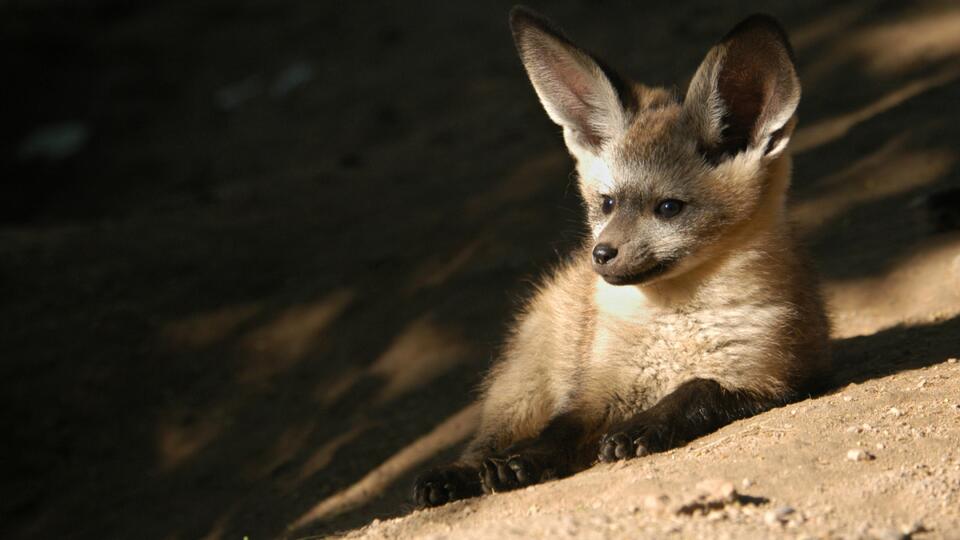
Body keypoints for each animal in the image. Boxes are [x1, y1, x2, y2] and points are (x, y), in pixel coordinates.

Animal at [412, 6, 831, 508]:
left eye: (668, 208)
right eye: (607, 203)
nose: (601, 254)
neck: (673, 325)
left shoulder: (775, 380)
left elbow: (697, 390)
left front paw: (642, 428)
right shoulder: (596, 390)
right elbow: (559, 430)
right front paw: (523, 462)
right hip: (523, 387)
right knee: (486, 443)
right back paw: (459, 473)